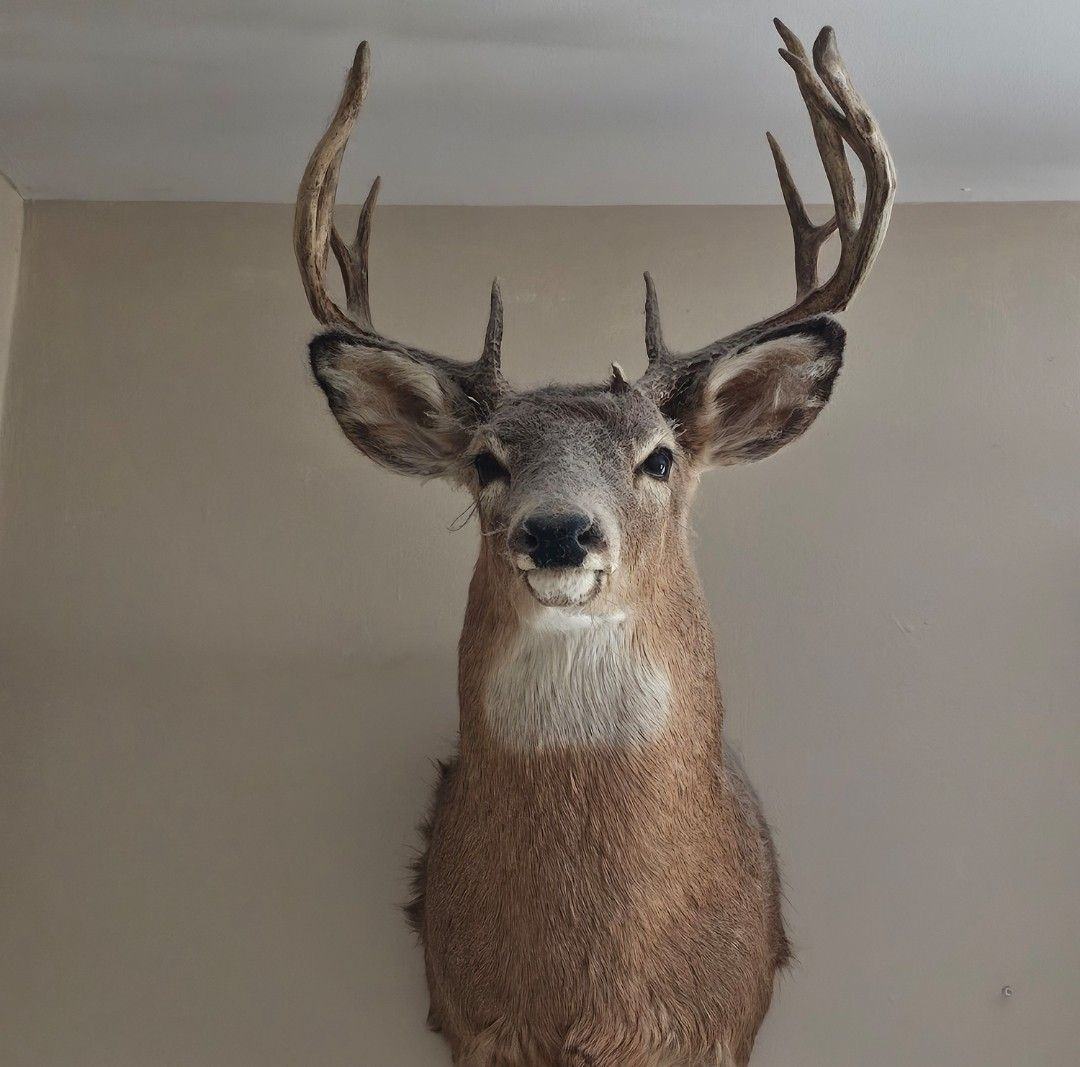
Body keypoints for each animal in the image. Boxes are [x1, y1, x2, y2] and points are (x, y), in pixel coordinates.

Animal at [295, 19, 894, 1067]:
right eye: (486, 461)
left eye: (658, 456)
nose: (559, 529)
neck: (596, 992)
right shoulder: (476, 1023)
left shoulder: (721, 1026)